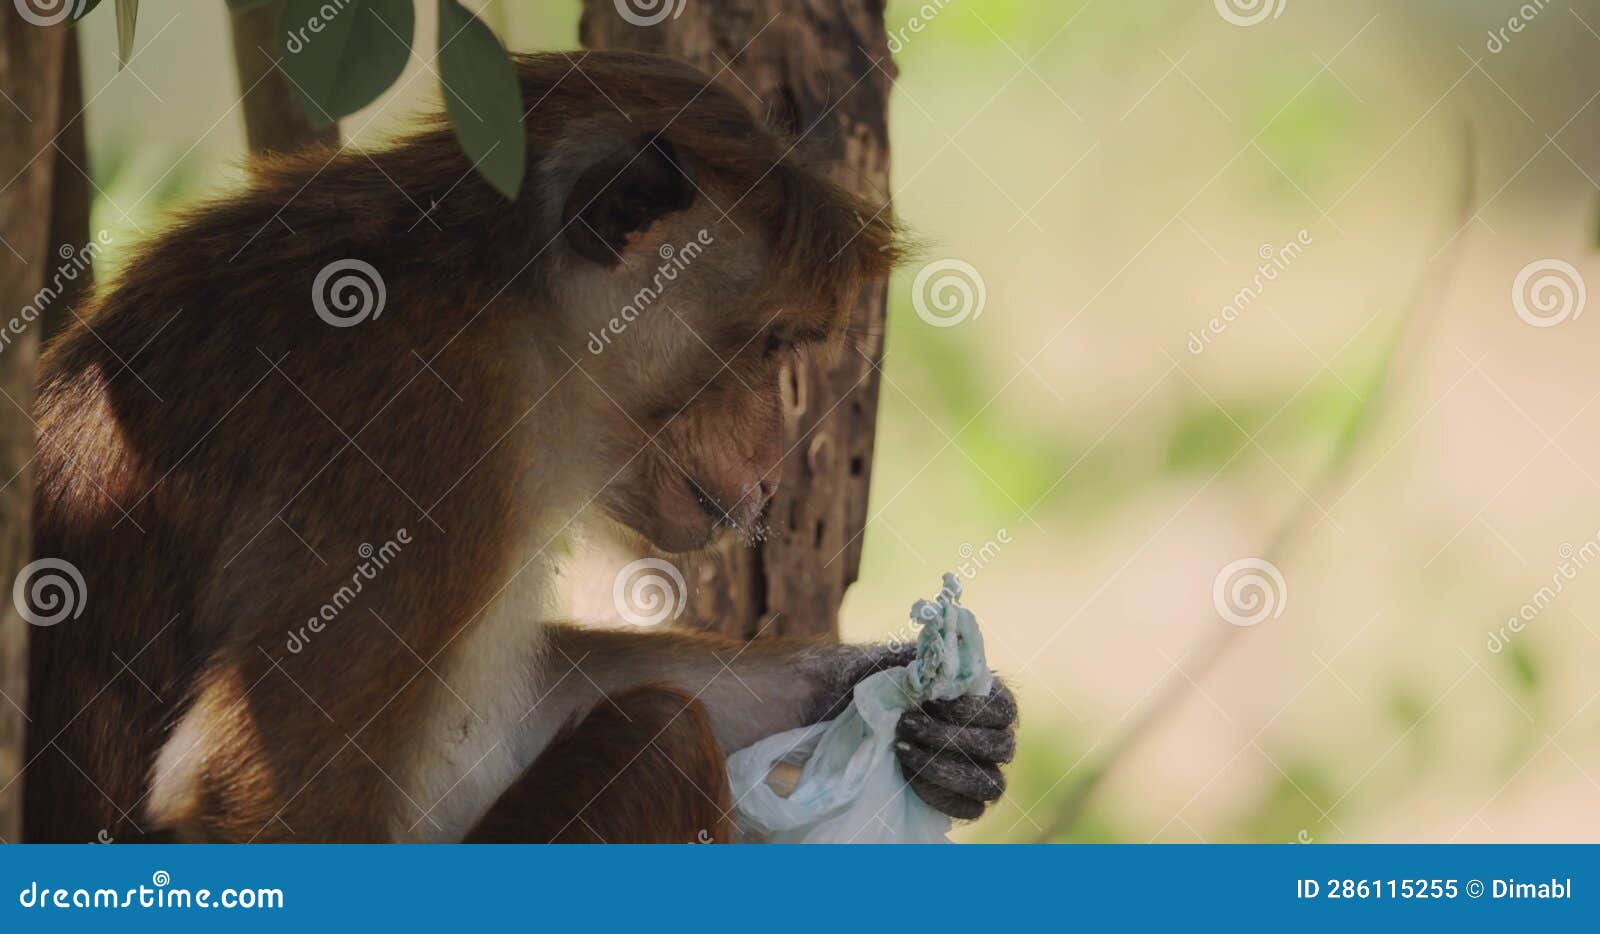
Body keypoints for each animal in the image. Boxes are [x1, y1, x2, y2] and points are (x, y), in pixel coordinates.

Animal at [20, 50, 1017, 843]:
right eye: (773, 346)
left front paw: (914, 702)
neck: (503, 299)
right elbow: (248, 801)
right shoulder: (435, 422)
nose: (775, 465)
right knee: (658, 740)